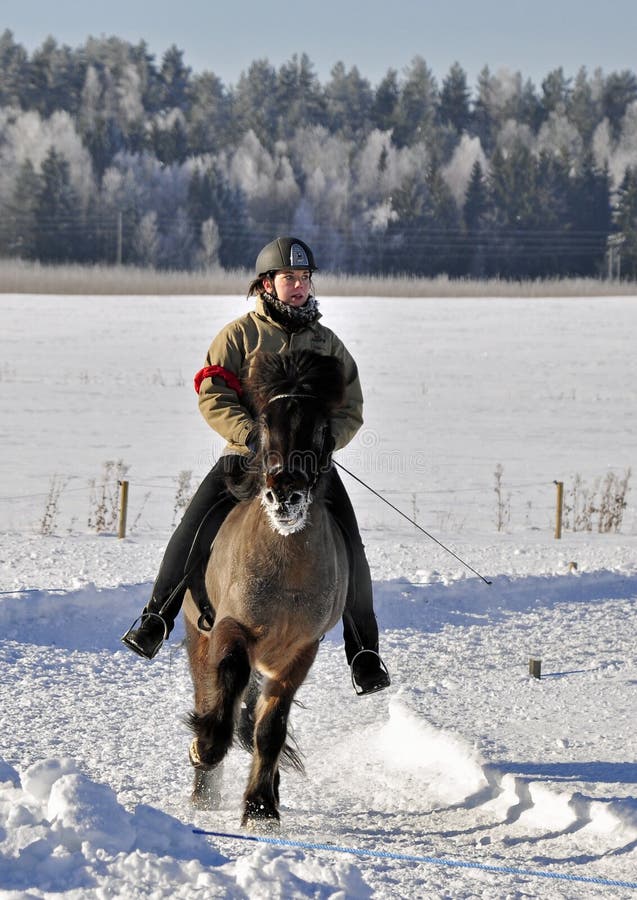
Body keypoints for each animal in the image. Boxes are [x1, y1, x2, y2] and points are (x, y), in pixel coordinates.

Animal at [182, 349, 350, 828]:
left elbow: (270, 729)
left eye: (321, 428)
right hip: (197, 638)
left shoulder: (299, 651)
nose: (285, 495)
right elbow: (228, 683)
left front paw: (259, 805)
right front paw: (205, 746)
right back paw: (203, 788)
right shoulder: (230, 628)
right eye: (262, 424)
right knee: (210, 690)